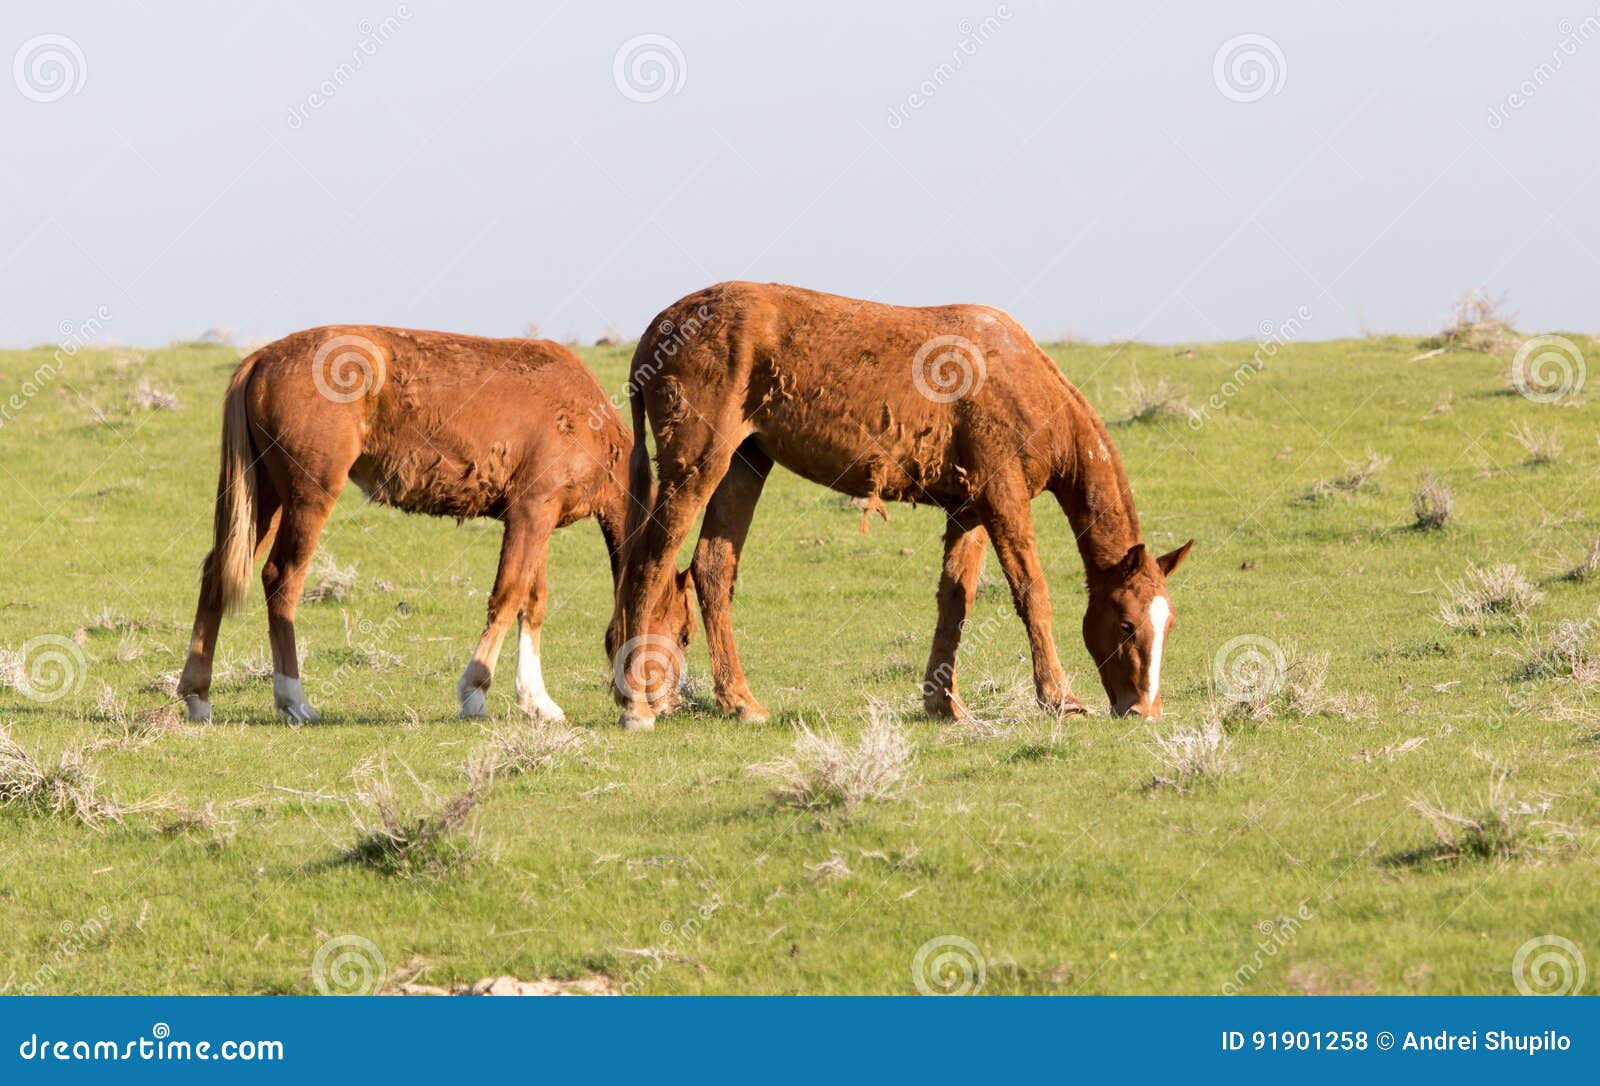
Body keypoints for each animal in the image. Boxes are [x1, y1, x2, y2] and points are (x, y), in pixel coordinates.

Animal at [176, 326, 694, 724]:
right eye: (685, 632)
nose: (667, 705)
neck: (585, 418)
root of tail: (261, 359)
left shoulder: (539, 521)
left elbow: (532, 603)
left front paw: (537, 701)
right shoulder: (530, 514)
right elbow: (507, 597)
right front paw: (474, 692)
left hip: (265, 498)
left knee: (217, 573)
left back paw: (197, 698)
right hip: (307, 498)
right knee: (281, 580)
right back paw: (294, 701)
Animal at [609, 282, 1193, 731]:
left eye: (1168, 626)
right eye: (1126, 626)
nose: (1143, 710)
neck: (1025, 383)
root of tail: (658, 329)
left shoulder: (969, 510)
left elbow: (956, 601)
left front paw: (944, 704)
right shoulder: (1002, 497)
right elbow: (1032, 593)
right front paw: (1060, 699)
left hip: (743, 465)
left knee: (710, 568)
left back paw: (740, 703)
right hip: (699, 466)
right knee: (650, 563)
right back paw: (638, 704)